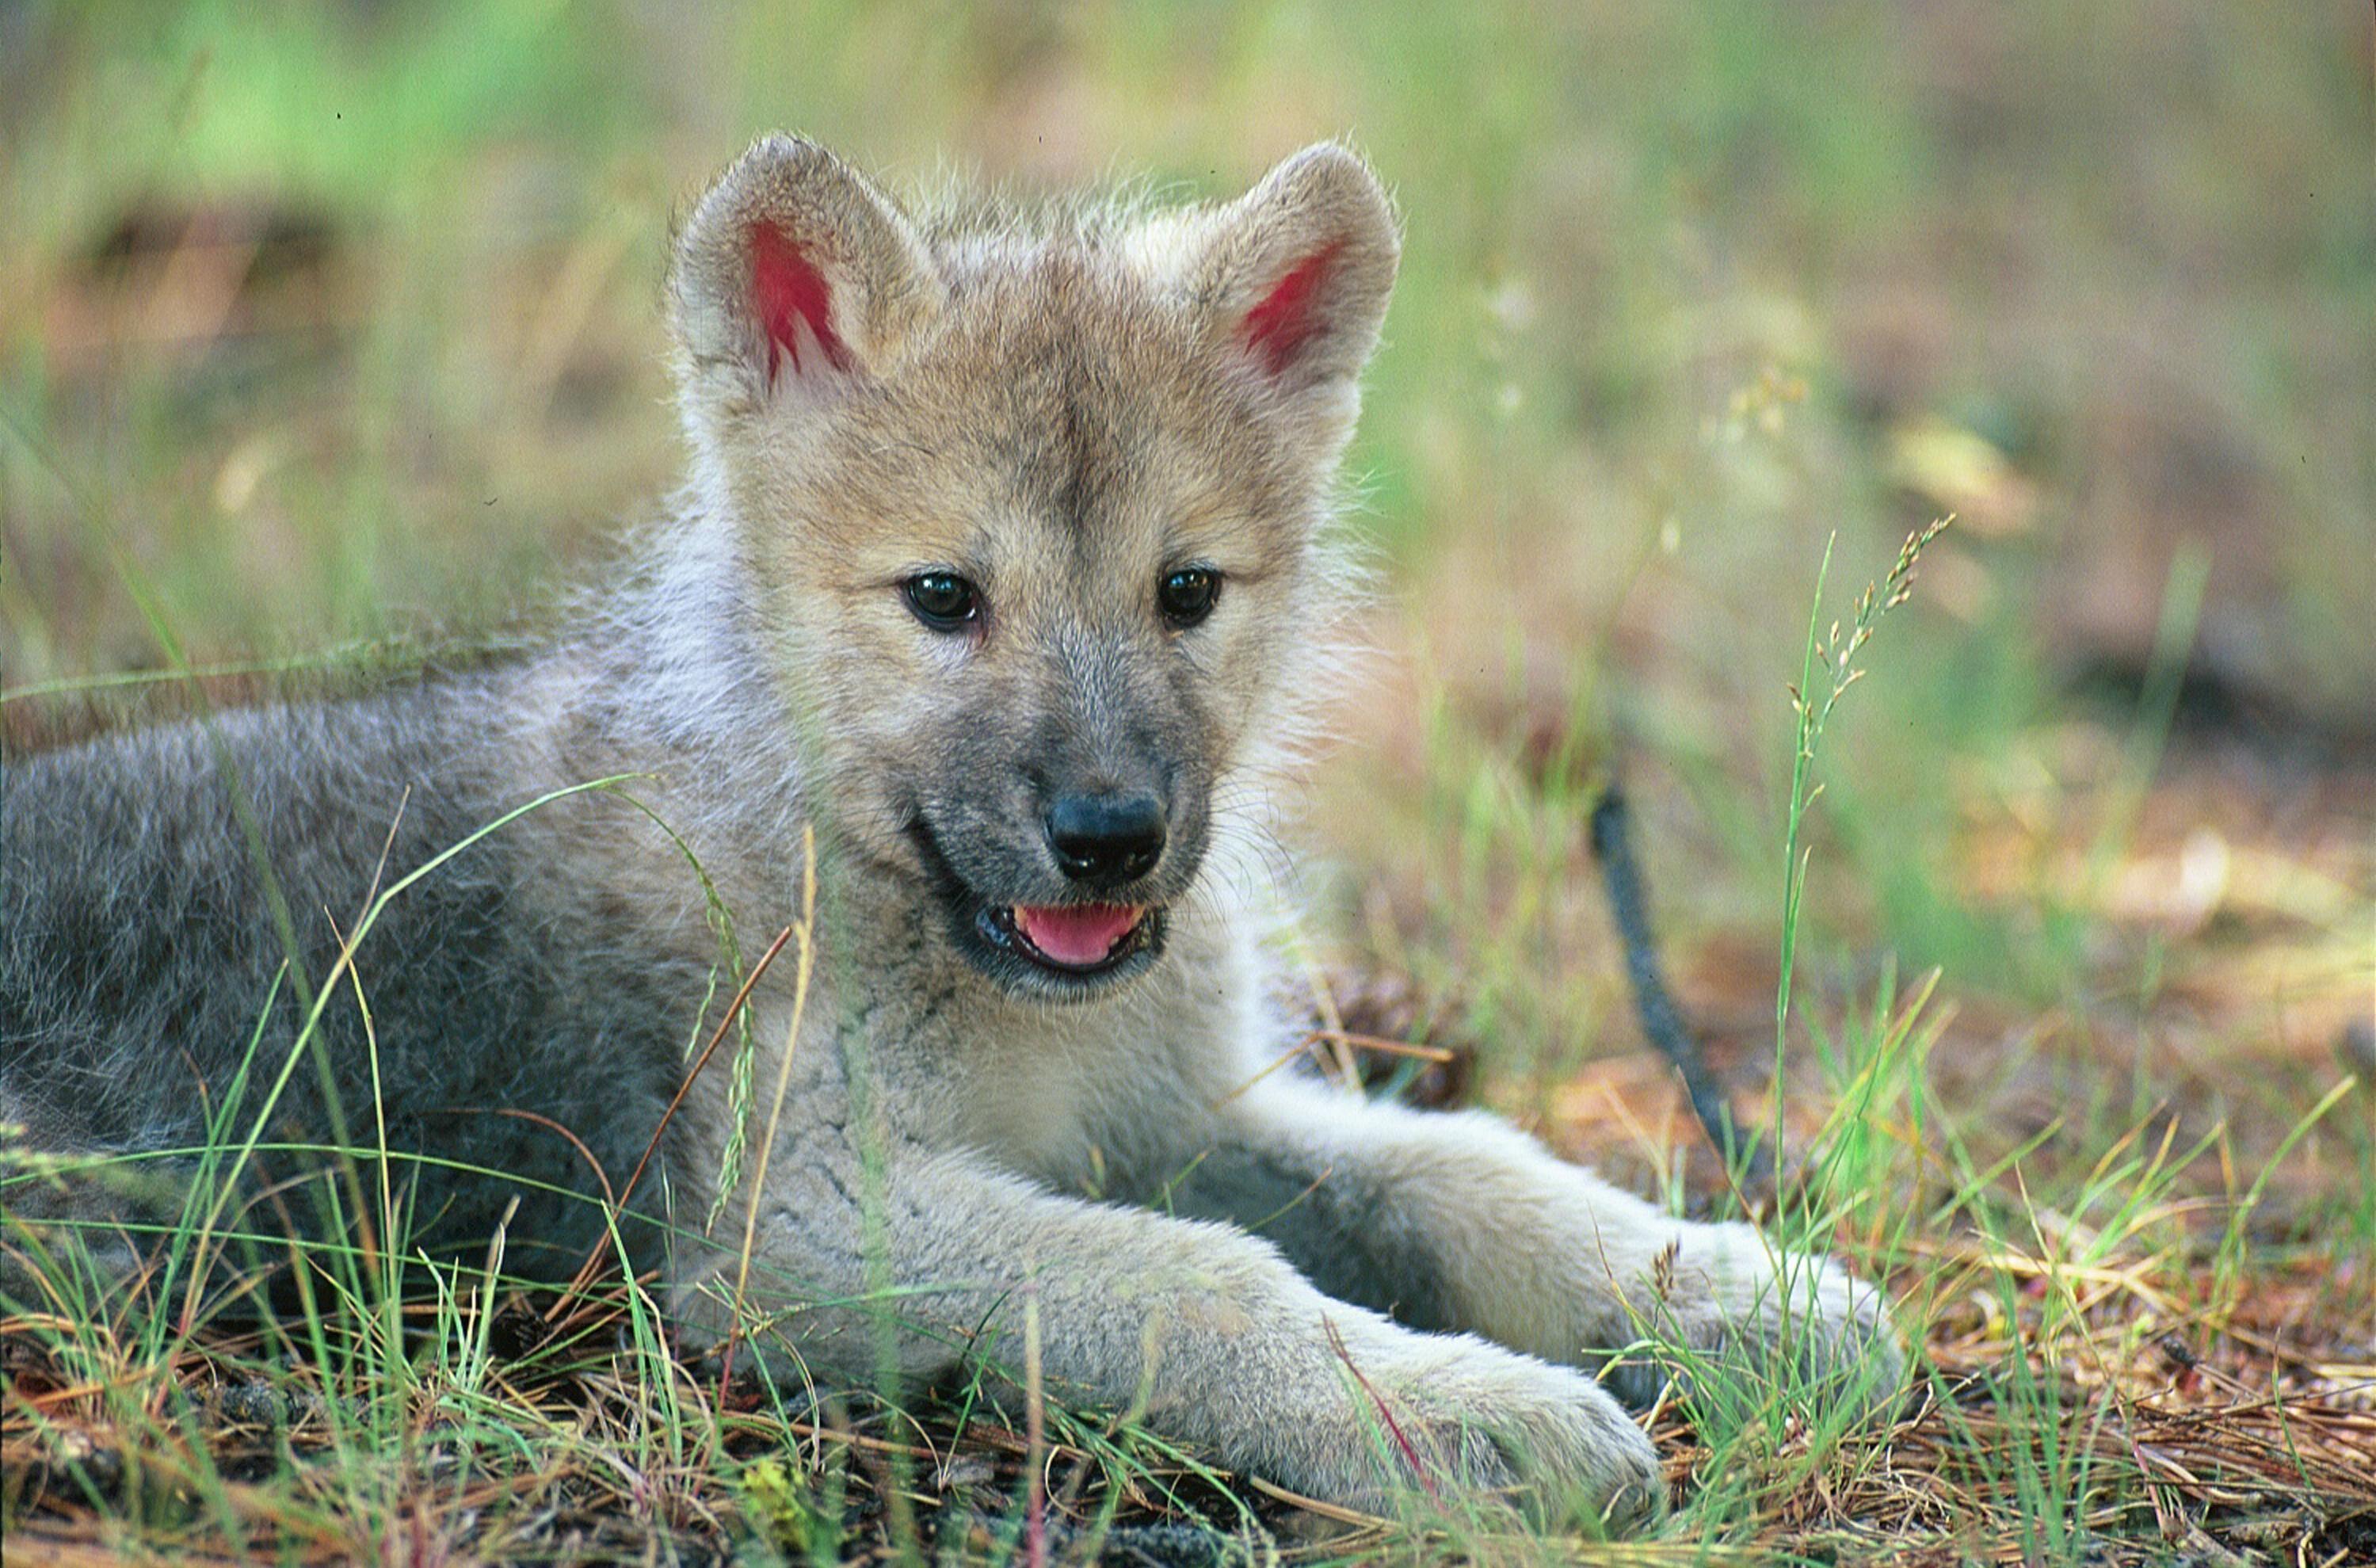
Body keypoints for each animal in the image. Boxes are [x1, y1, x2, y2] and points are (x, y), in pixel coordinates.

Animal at [1, 136, 1899, 1528]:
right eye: (940, 598)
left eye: (1185, 591)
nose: (1108, 834)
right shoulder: (795, 1222)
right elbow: (1208, 1280)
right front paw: (1462, 1411)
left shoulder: (1176, 1108)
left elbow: (1459, 1166)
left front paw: (1722, 1287)